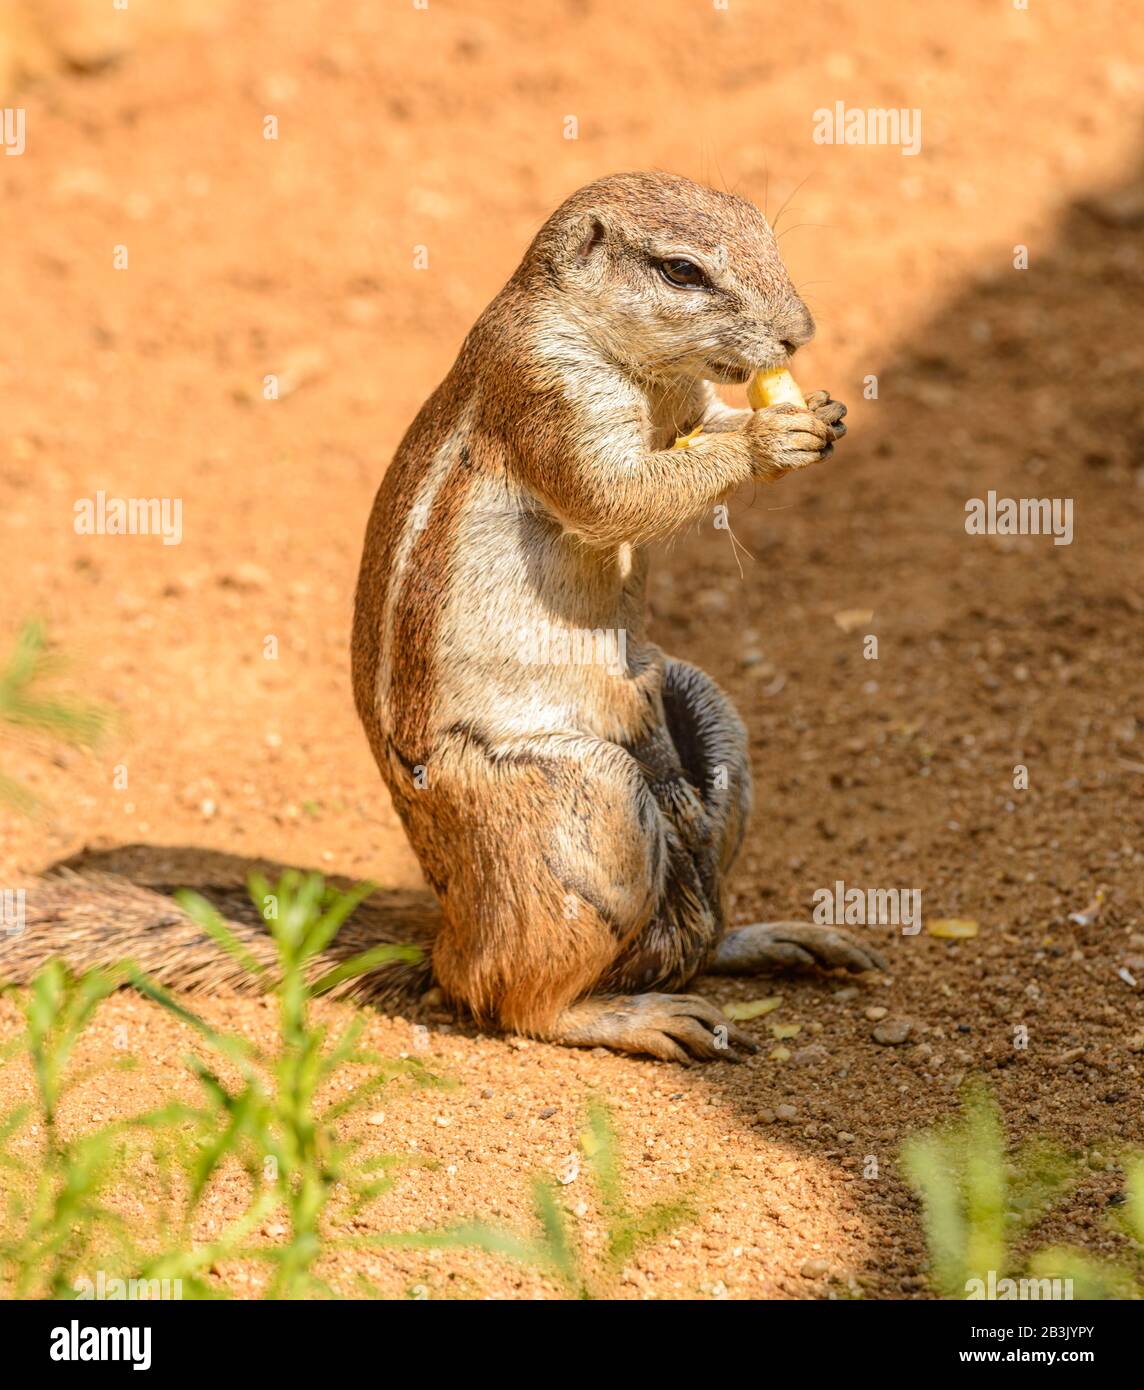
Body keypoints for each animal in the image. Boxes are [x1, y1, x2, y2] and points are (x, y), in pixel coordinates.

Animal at [5, 173, 885, 1063]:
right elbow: (613, 492)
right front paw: (771, 438)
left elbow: (703, 430)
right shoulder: (547, 390)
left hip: (705, 708)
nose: (800, 333)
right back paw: (642, 1017)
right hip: (576, 797)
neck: (634, 365)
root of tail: (446, 925)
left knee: (685, 931)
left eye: (764, 232)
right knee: (506, 994)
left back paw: (771, 938)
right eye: (682, 271)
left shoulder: (688, 401)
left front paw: (821, 413)